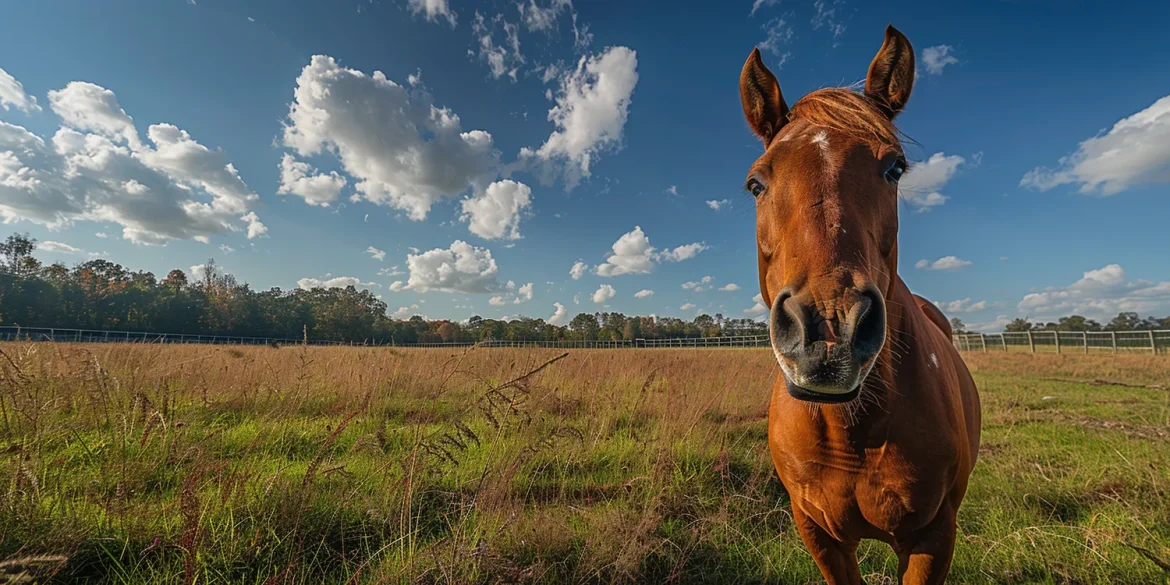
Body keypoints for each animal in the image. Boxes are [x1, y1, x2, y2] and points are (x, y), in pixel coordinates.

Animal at [739, 25, 978, 582]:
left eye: (894, 168)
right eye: (756, 183)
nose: (830, 330)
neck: (852, 432)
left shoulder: (933, 537)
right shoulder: (819, 534)